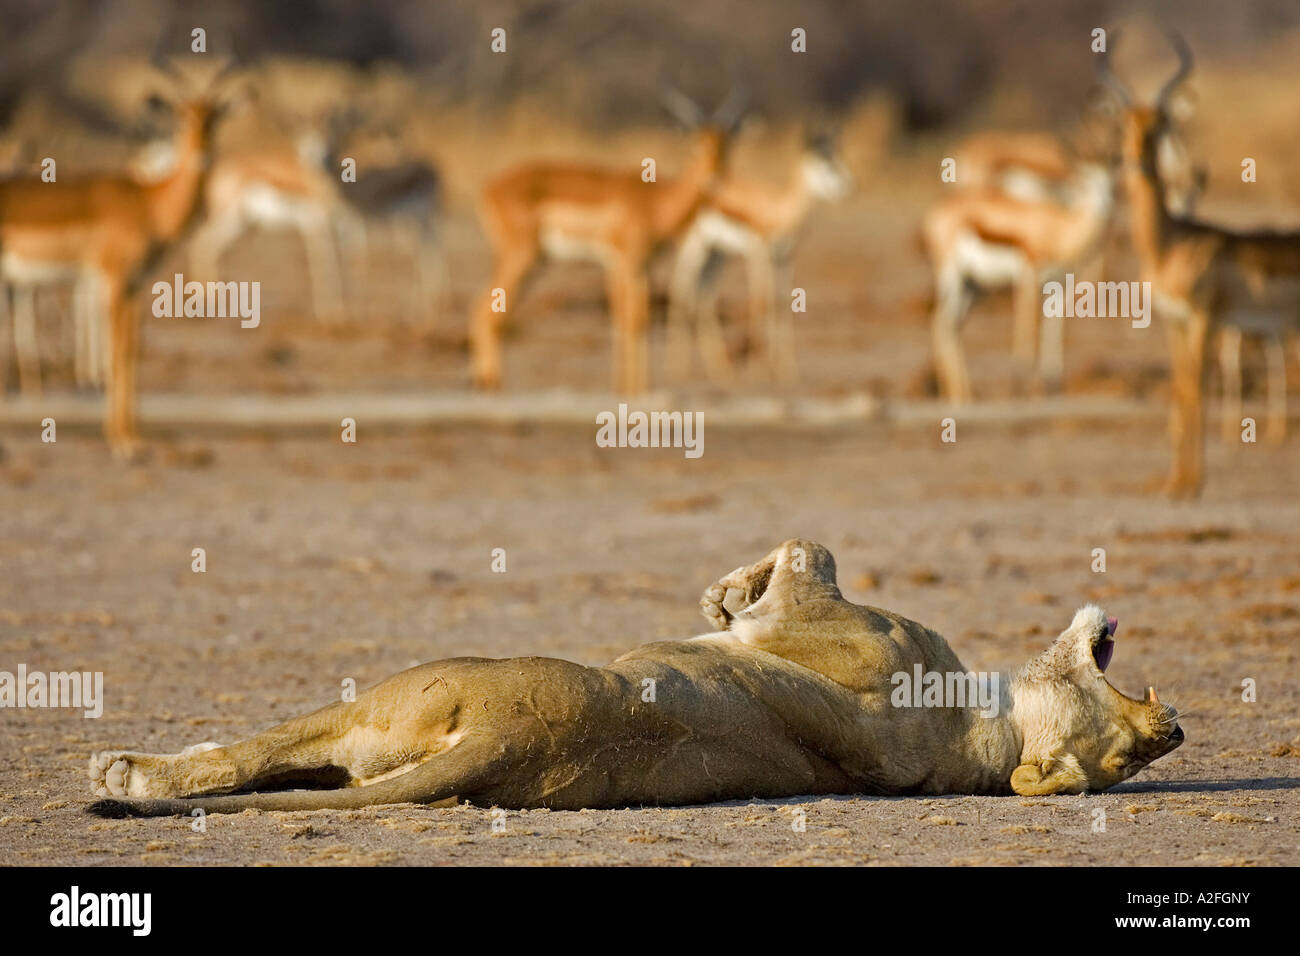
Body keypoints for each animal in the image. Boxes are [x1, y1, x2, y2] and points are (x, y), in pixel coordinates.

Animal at [85, 539, 1183, 817]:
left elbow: (805, 554)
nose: (1173, 724)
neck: (986, 730)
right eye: (1132, 747)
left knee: (247, 754)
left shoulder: (830, 618)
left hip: (391, 695)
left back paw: (126, 771)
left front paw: (727, 594)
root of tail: (518, 738)